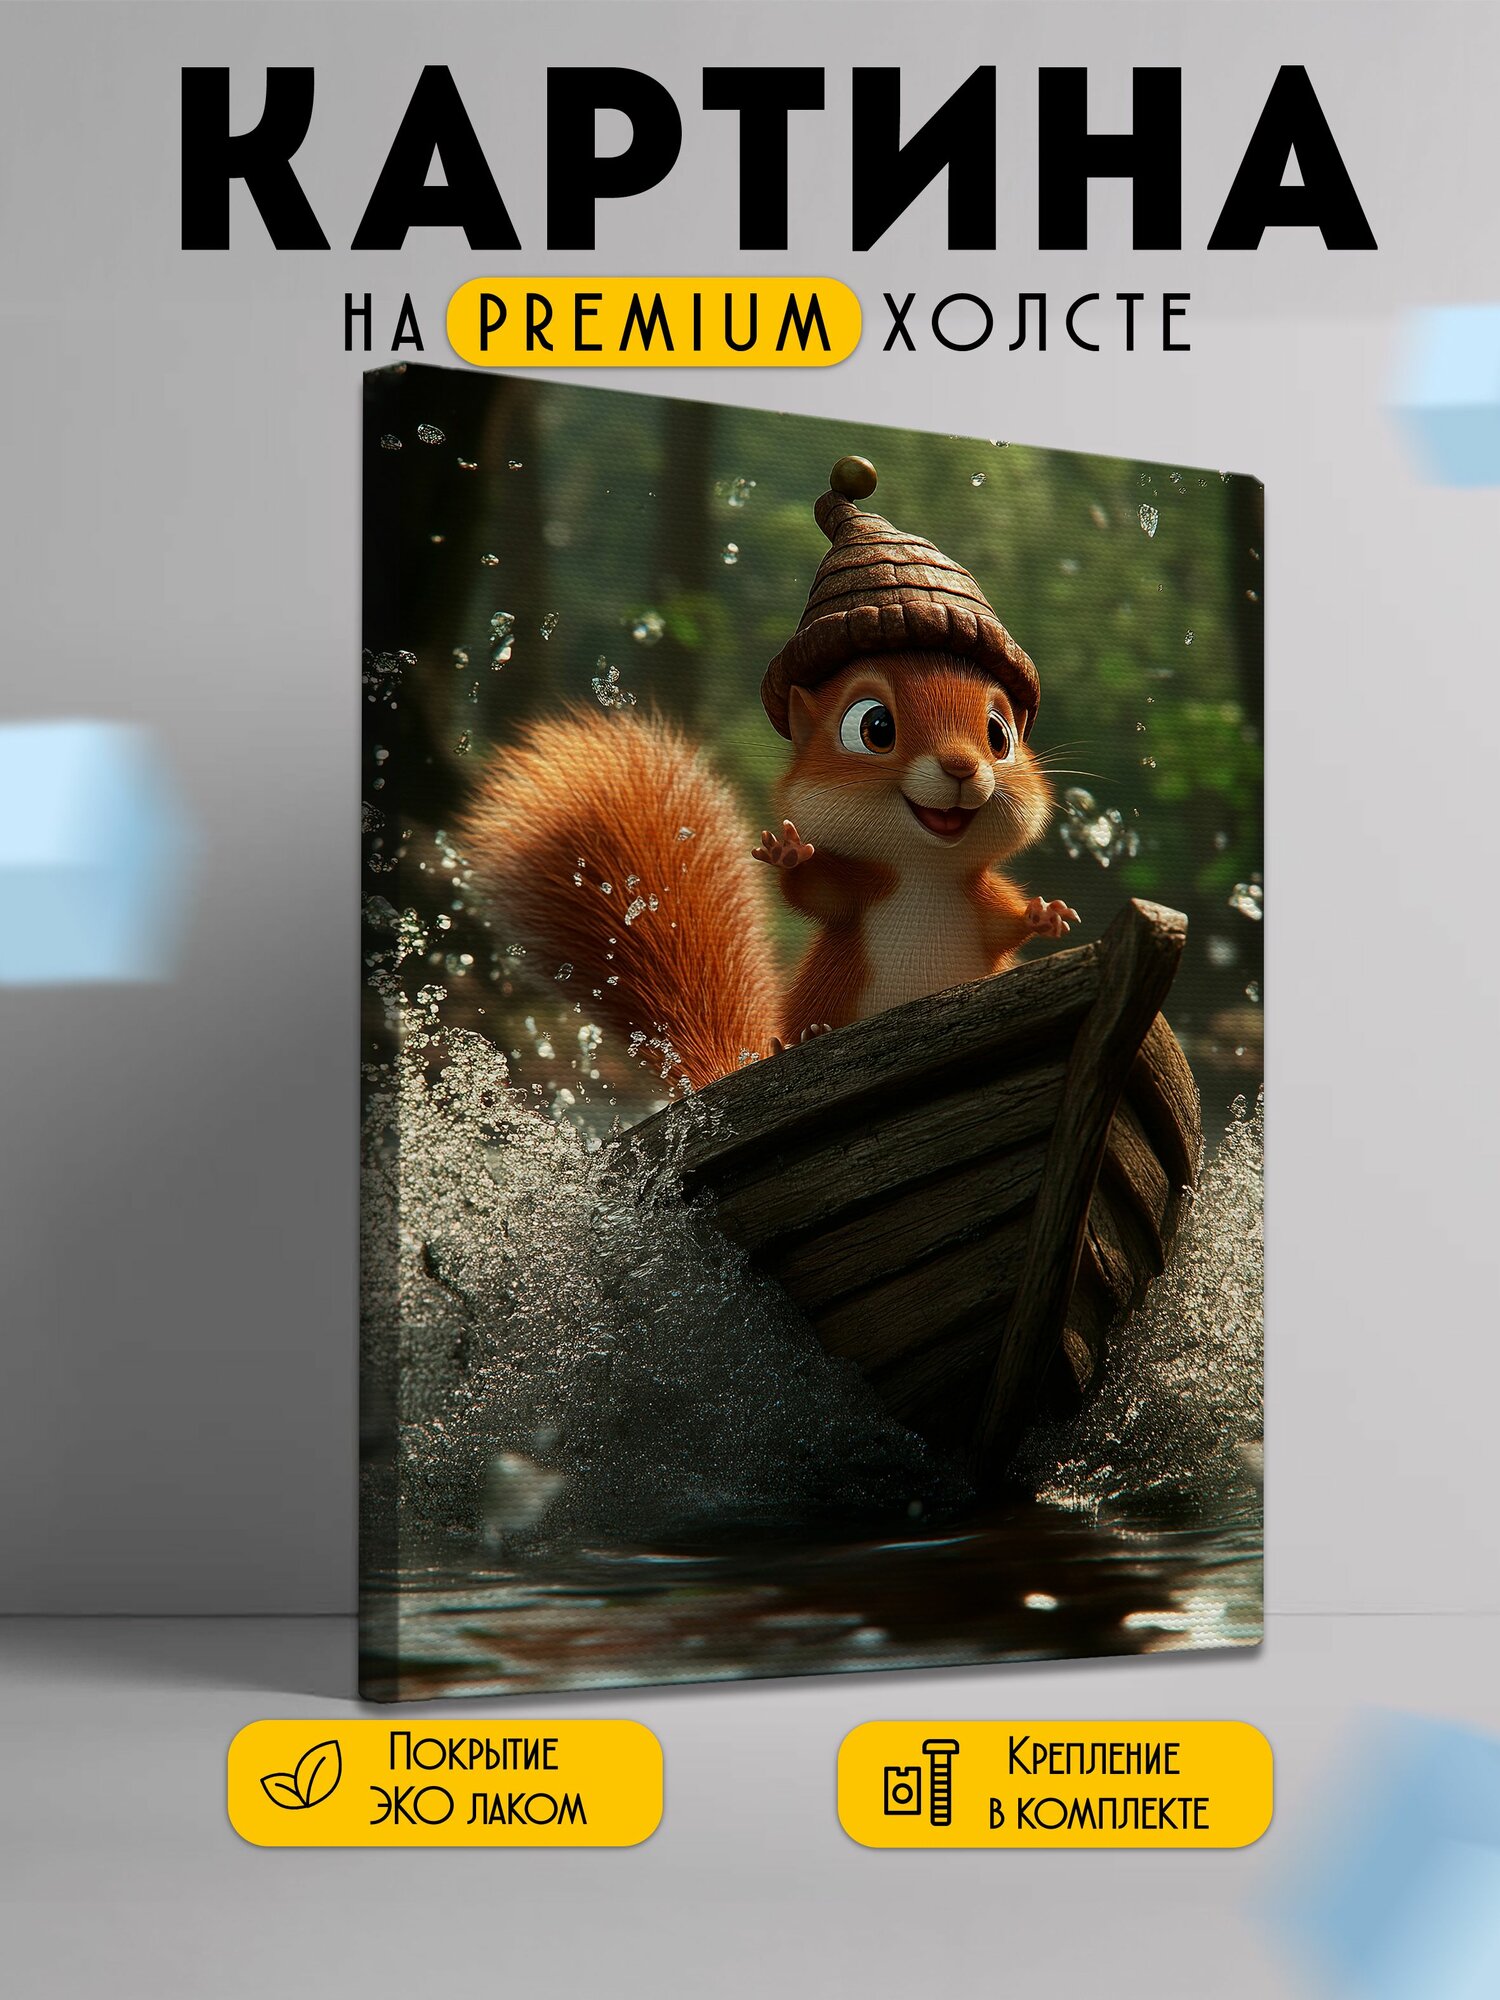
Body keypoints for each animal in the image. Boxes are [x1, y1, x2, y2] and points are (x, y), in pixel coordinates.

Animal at [460, 456, 1078, 1095]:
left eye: (1000, 735)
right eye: (874, 727)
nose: (961, 766)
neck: (923, 873)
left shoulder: (978, 898)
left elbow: (1003, 923)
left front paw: (1046, 914)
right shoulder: (856, 896)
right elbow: (814, 892)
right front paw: (787, 852)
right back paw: (802, 1038)